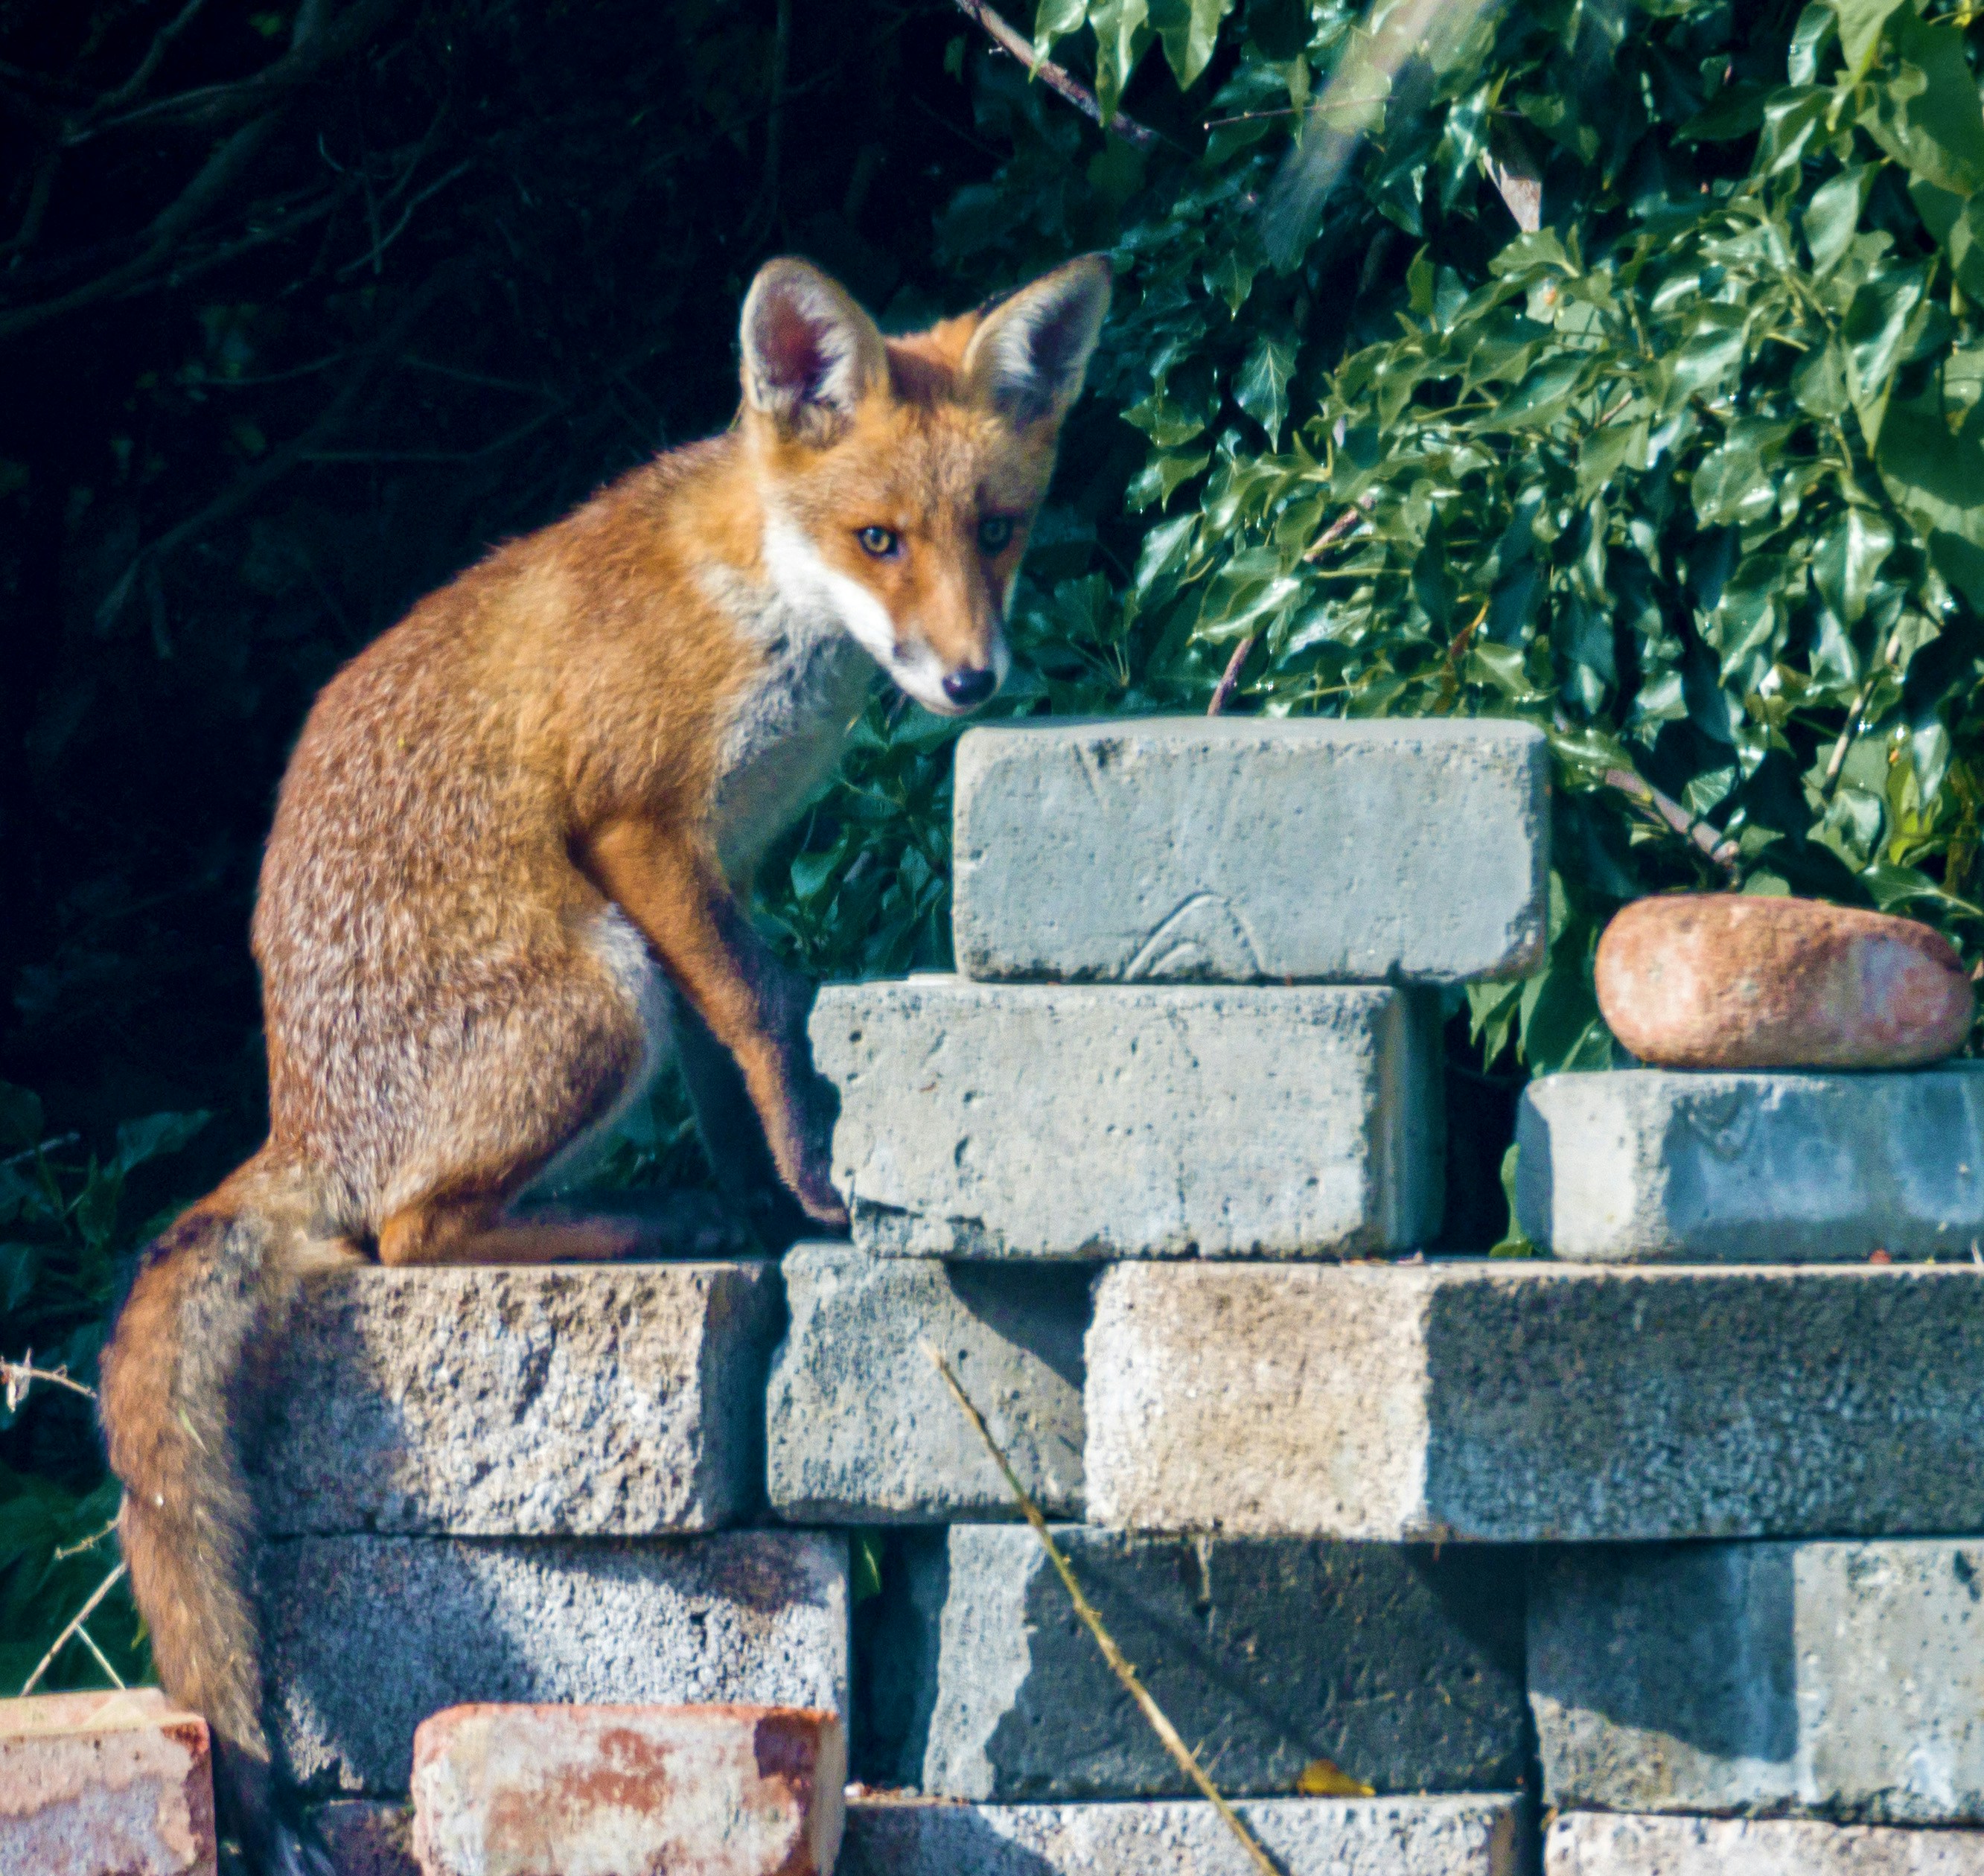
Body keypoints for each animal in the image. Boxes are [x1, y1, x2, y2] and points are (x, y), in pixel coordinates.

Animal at [97, 251, 1110, 1873]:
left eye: (998, 531)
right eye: (879, 540)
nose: (972, 682)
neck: (762, 604)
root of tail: (299, 1117)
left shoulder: (714, 868)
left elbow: (734, 1062)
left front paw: (776, 1200)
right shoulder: (641, 831)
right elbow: (764, 1019)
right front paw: (807, 1188)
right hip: (596, 993)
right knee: (405, 1236)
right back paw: (639, 1226)